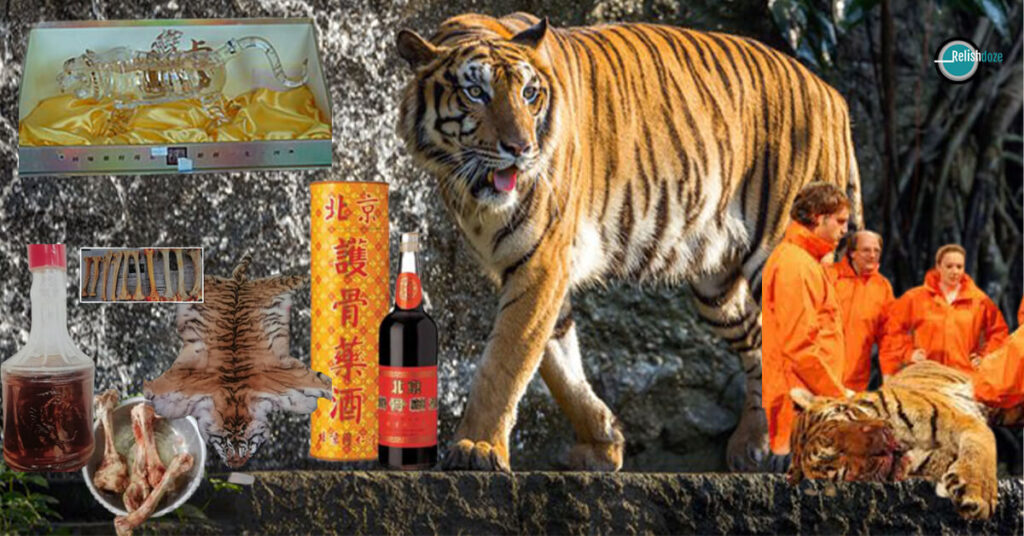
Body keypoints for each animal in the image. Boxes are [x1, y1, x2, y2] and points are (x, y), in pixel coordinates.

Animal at [145, 255, 331, 468]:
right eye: (223, 443)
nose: (236, 464)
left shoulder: (288, 379)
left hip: (274, 284)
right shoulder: (181, 385)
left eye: (248, 442)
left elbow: (321, 383)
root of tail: (238, 283)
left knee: (294, 277)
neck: (234, 396)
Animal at [396, 12, 862, 472]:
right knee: (762, 342)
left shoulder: (541, 261)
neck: (469, 190)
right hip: (717, 288)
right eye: (475, 93)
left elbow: (505, 361)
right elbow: (556, 364)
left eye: (529, 94)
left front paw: (477, 447)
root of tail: (832, 94)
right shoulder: (529, 266)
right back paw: (757, 444)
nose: (521, 149)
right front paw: (603, 442)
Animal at [788, 361, 998, 520]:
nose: (878, 442)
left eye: (842, 416)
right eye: (837, 456)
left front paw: (978, 494)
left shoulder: (963, 420)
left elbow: (979, 448)